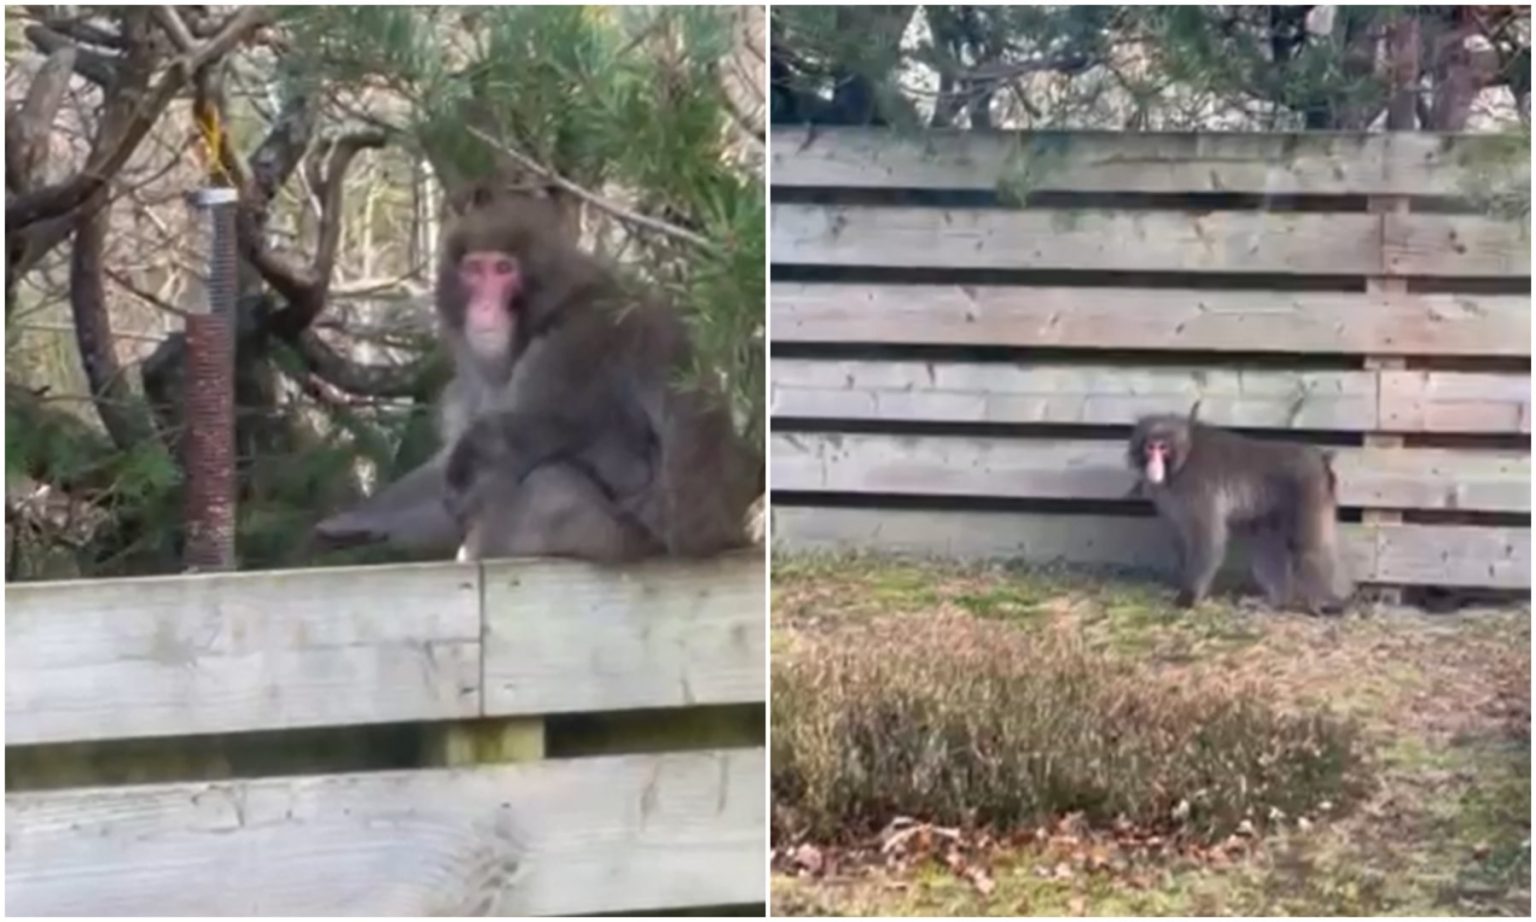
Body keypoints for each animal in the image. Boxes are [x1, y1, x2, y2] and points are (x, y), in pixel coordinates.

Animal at [316, 191, 762, 563]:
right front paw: (359, 520)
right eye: (474, 270)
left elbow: (601, 450)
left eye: (503, 269)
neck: (536, 318)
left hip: (620, 537)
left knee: (551, 482)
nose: (484, 307)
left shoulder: (571, 346)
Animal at [1127, 412, 1352, 615]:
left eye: (1162, 448)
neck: (1183, 458)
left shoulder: (1197, 487)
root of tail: (1321, 458)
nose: (1154, 464)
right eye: (1150, 447)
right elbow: (1182, 536)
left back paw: (1323, 602)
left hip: (1310, 491)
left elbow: (1208, 540)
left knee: (1309, 547)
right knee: (1267, 542)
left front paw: (1188, 597)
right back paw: (1277, 601)